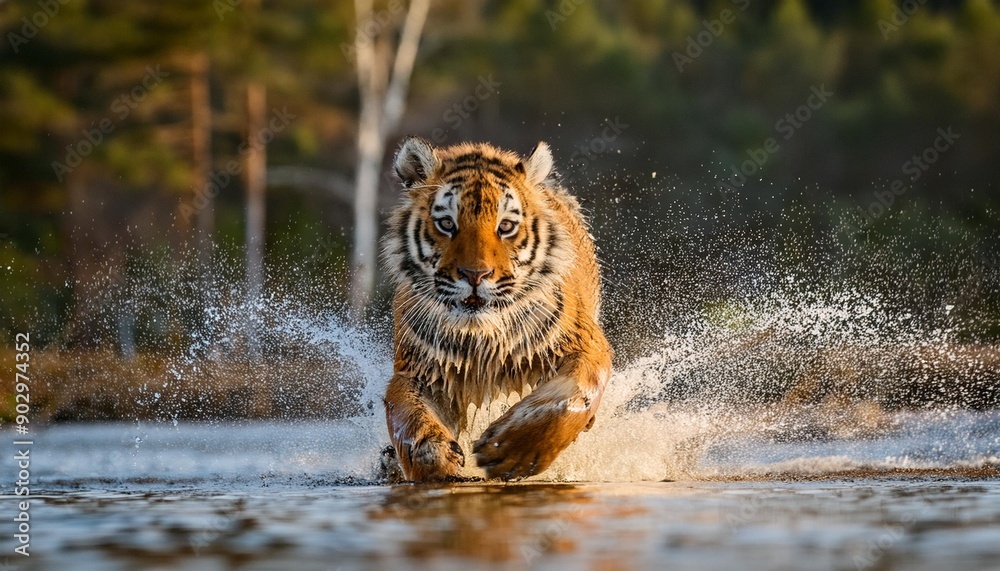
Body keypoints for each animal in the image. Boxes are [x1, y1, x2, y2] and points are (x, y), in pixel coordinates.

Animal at [381, 136, 613, 482]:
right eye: (447, 224)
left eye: (505, 226)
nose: (475, 275)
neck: (482, 335)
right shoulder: (419, 369)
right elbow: (409, 418)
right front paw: (434, 460)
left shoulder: (584, 344)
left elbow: (570, 398)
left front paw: (510, 451)